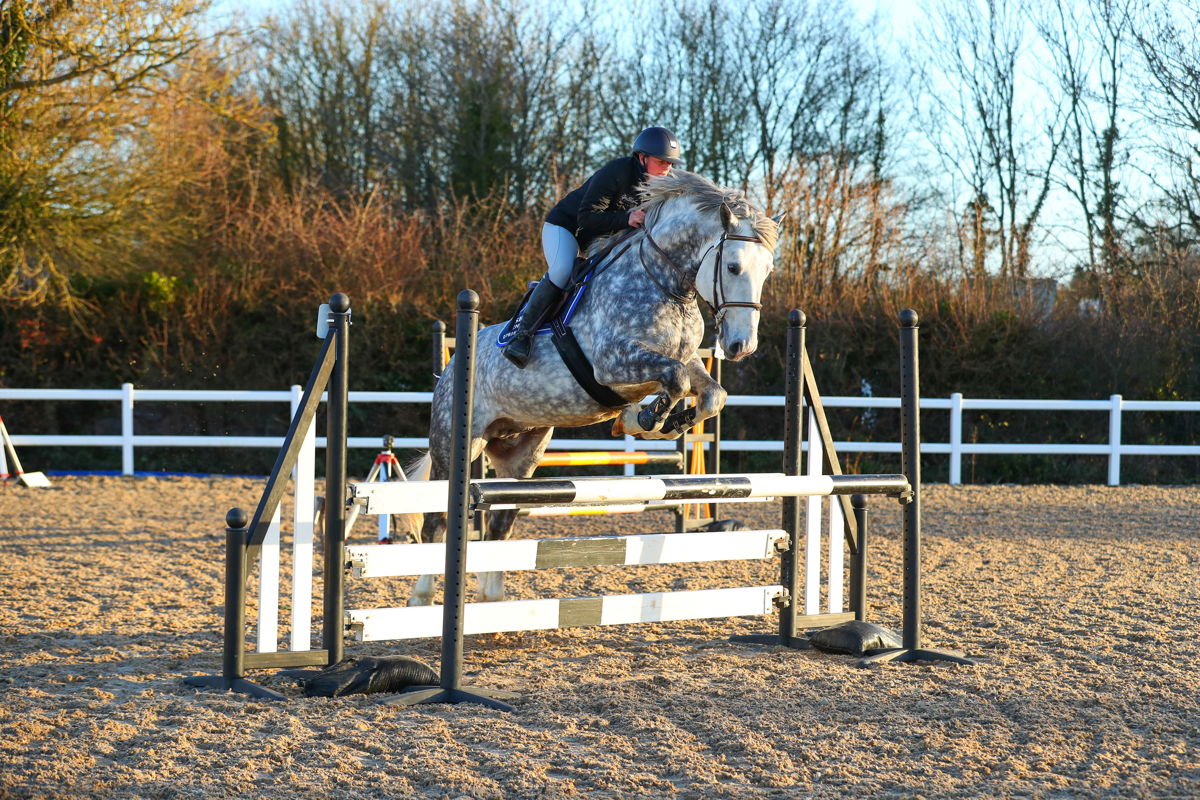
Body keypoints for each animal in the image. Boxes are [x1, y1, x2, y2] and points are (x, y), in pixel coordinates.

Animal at [406, 170, 782, 606]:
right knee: (437, 519)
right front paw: (645, 418)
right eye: (734, 267)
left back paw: (493, 602)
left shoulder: (685, 358)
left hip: (519, 453)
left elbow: (709, 393)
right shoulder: (612, 363)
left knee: (500, 521)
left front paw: (665, 420)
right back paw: (421, 598)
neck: (663, 282)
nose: (742, 347)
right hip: (456, 442)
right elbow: (677, 379)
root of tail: (449, 369)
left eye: (767, 271)